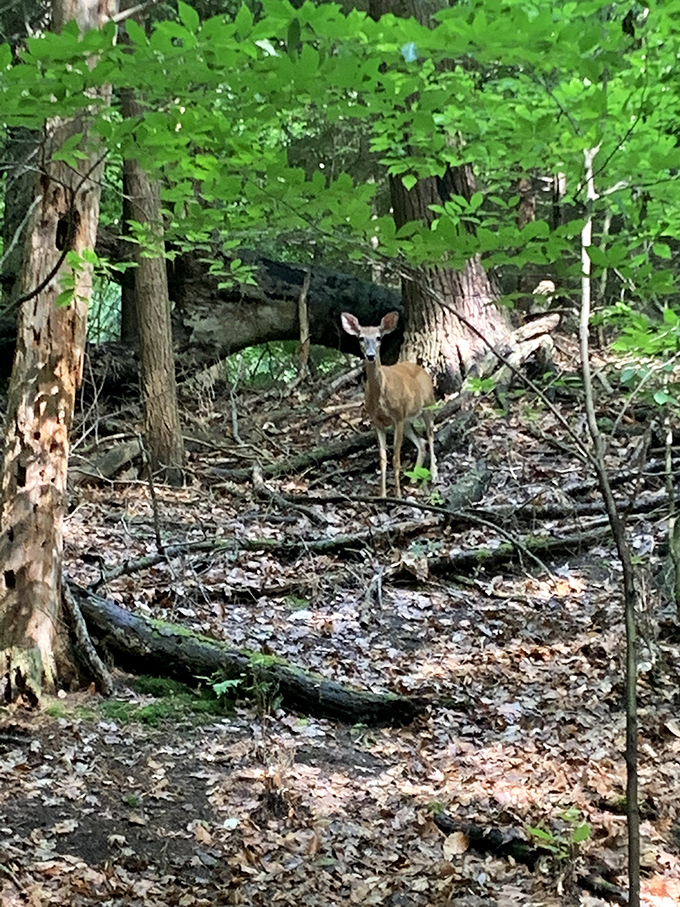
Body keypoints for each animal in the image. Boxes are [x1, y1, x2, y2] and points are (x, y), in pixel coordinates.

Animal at [341, 310, 438, 498]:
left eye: (379, 337)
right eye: (361, 338)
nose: (371, 355)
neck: (381, 396)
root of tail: (421, 369)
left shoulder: (397, 417)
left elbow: (396, 459)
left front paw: (398, 495)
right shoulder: (377, 421)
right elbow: (383, 459)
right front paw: (383, 495)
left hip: (428, 405)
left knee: (430, 436)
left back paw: (435, 474)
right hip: (407, 420)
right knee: (421, 442)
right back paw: (414, 478)